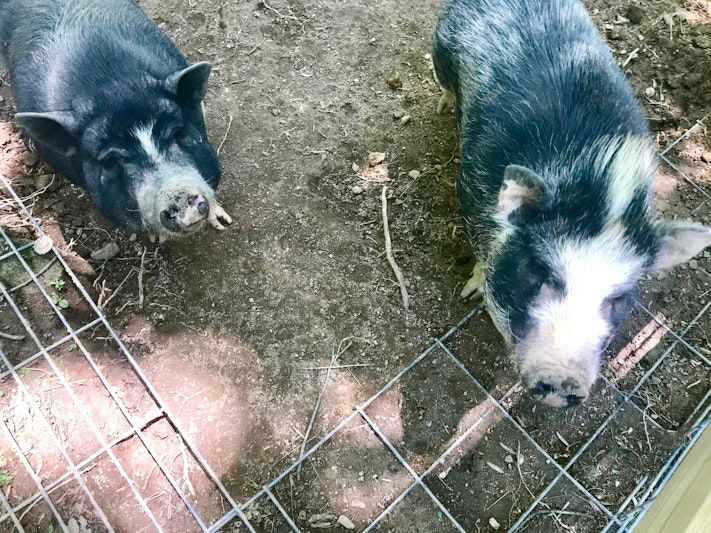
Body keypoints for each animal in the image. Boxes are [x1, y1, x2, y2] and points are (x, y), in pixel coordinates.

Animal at [0, 0, 232, 242]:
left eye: (178, 133)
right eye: (111, 161)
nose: (176, 194)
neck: (109, 84)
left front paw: (222, 222)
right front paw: (157, 239)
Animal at [433, 0, 711, 407]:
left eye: (618, 298)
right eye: (541, 272)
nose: (565, 380)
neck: (603, 186)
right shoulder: (470, 186)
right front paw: (473, 289)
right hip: (440, 46)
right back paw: (444, 104)